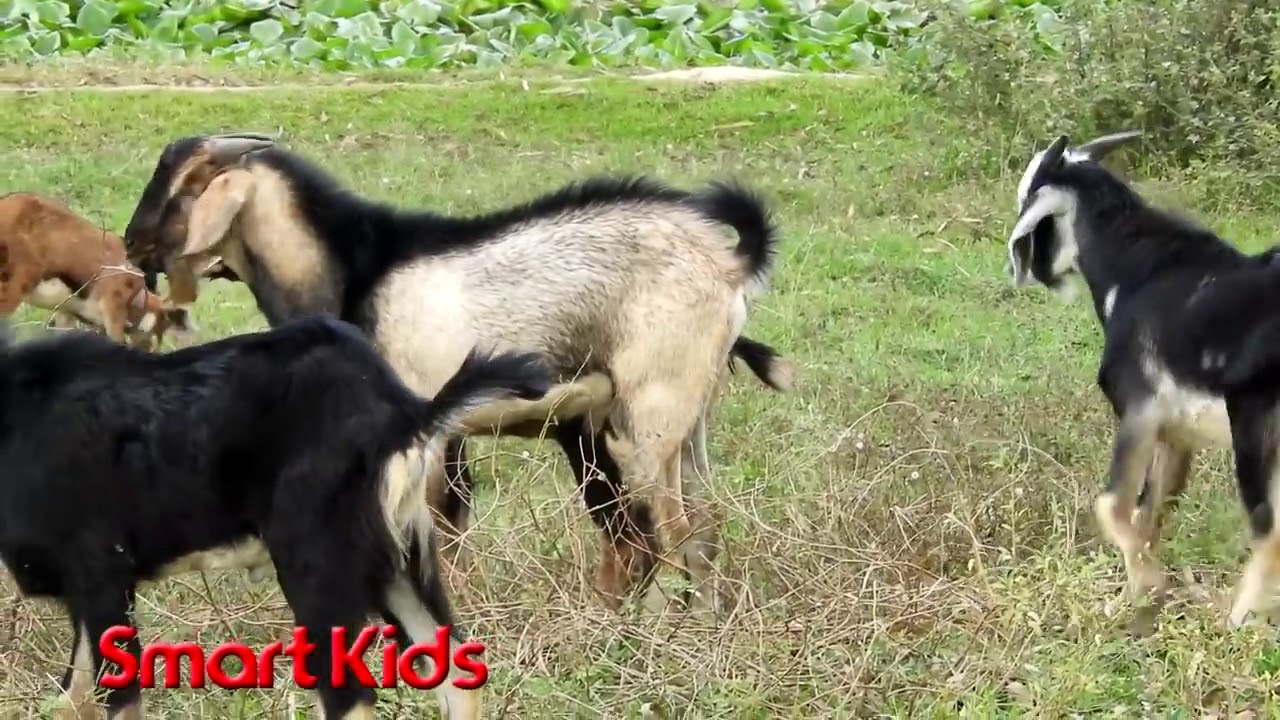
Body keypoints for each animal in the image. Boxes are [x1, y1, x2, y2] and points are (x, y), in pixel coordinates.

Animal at [0, 312, 550, 719]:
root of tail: (404, 413)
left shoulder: (102, 573)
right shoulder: (84, 591)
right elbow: (71, 700)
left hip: (318, 562)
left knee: (350, 700)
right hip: (396, 561)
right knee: (456, 675)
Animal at [122, 132, 789, 615]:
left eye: (182, 187)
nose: (131, 243)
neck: (356, 271)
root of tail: (729, 264)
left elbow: (435, 522)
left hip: (648, 411)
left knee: (675, 524)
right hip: (685, 417)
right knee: (697, 519)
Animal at [1007, 130, 1280, 627]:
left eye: (1026, 196)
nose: (1034, 273)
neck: (1139, 272)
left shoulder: (1140, 410)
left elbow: (1112, 505)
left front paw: (1152, 585)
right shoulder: (1176, 434)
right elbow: (1149, 516)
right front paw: (1139, 602)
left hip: (1255, 425)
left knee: (1269, 529)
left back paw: (1237, 621)